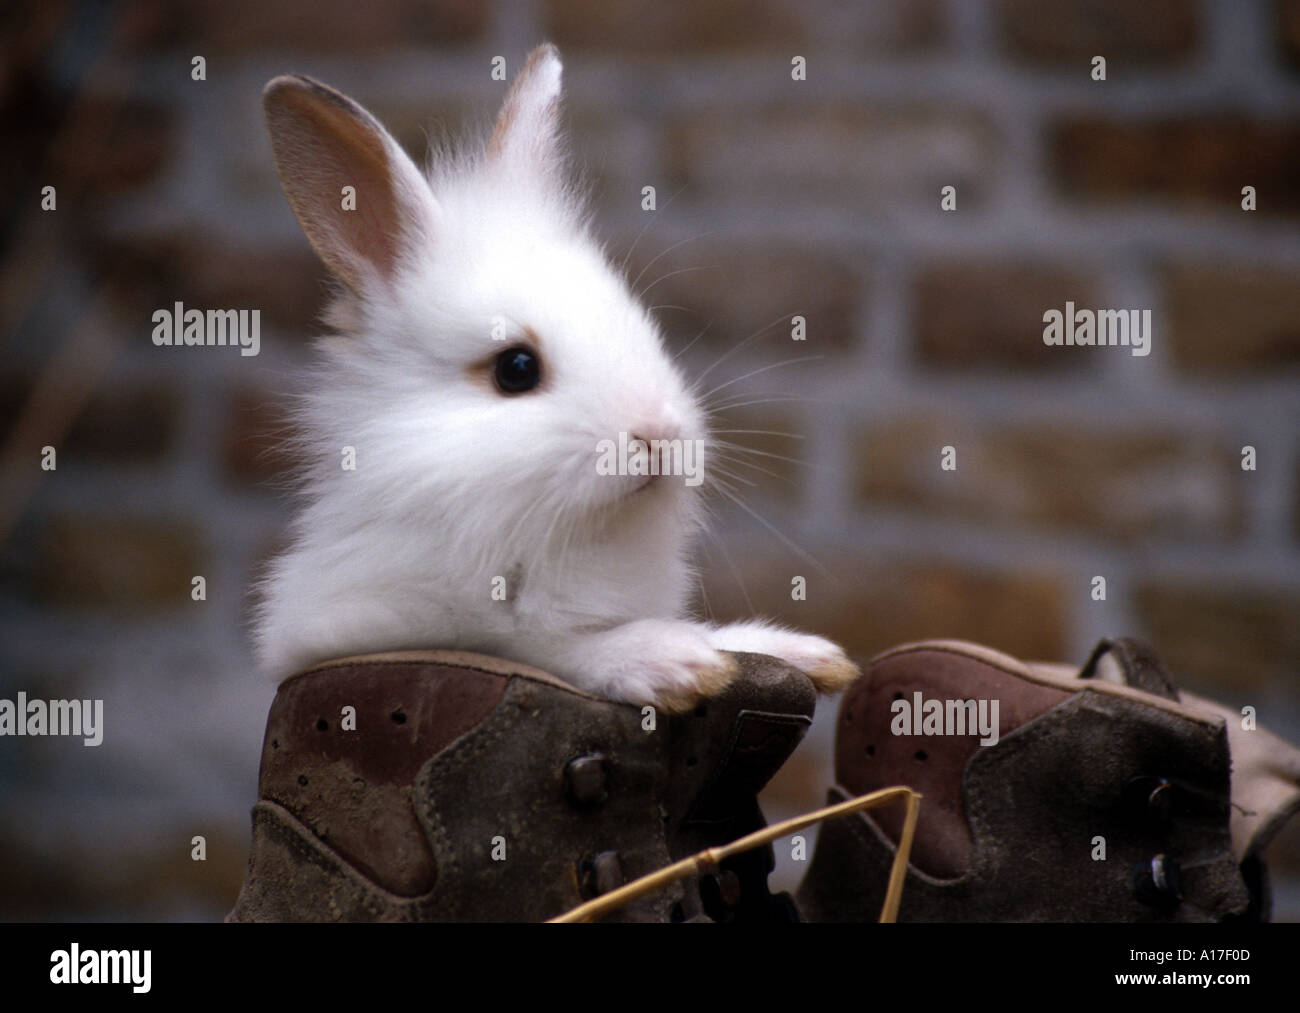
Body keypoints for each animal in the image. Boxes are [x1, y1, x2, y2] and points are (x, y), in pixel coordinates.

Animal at [254, 43, 859, 712]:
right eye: (516, 369)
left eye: (637, 322)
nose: (658, 436)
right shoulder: (373, 624)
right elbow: (537, 647)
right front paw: (668, 661)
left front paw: (803, 654)